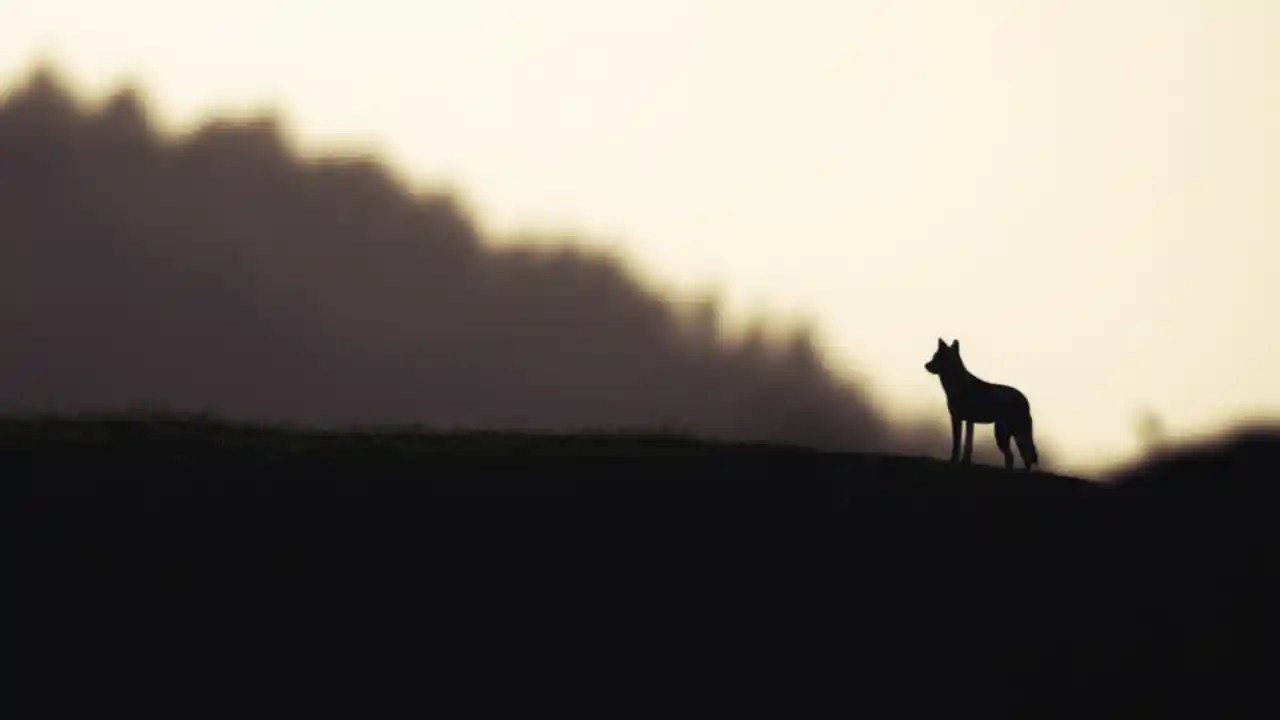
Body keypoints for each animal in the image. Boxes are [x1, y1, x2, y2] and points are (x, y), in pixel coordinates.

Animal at [925, 338, 1038, 470]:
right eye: (934, 357)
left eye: (937, 358)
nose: (925, 365)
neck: (957, 384)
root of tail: (1025, 400)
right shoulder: (969, 421)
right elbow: (968, 445)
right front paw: (965, 463)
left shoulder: (957, 419)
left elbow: (957, 444)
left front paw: (954, 461)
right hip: (1014, 435)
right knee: (1023, 456)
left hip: (1003, 434)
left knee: (1014, 456)